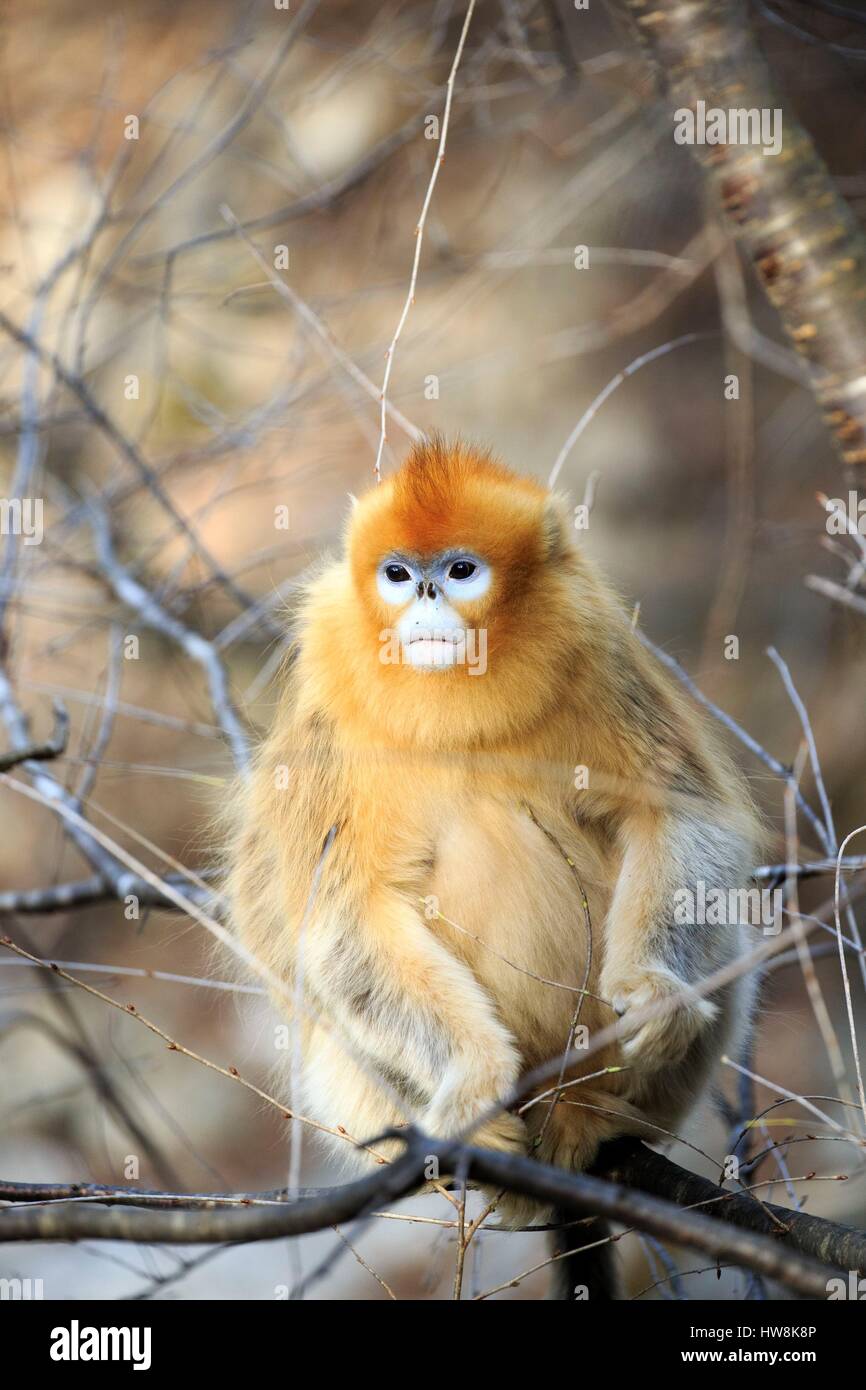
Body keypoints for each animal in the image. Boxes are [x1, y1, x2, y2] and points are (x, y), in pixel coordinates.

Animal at [225, 436, 763, 1296]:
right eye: (398, 574)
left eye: (461, 570)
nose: (426, 598)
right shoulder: (328, 696)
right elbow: (341, 918)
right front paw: (473, 1085)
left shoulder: (599, 647)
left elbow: (683, 814)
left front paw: (653, 992)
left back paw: (587, 1114)